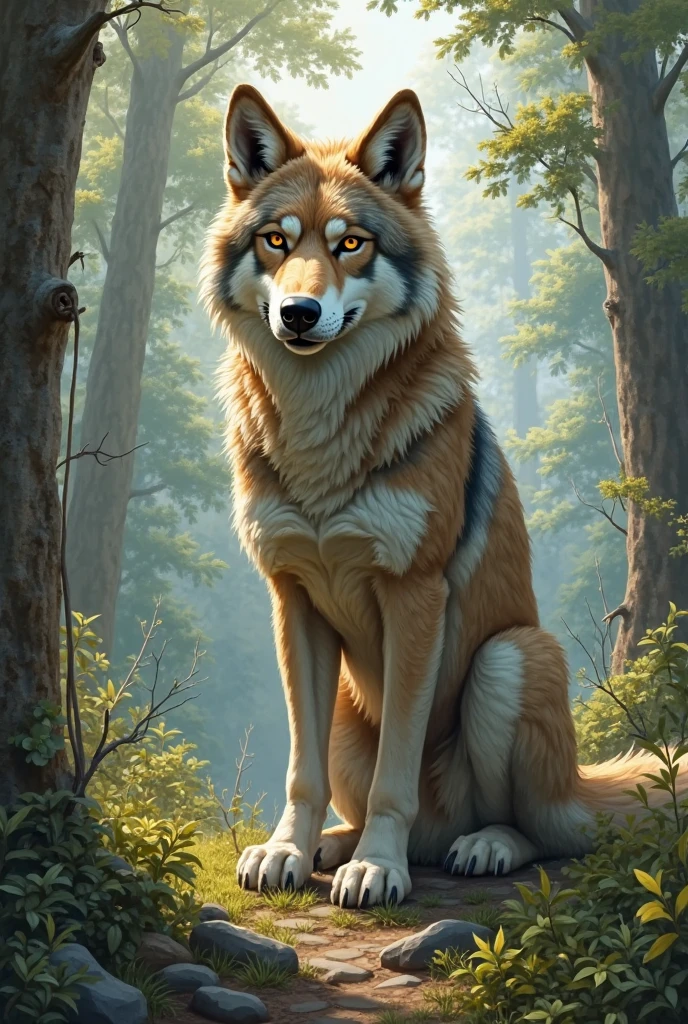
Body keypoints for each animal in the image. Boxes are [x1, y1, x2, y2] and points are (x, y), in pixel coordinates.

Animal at [201, 83, 686, 908]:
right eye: (276, 241)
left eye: (350, 244)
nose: (299, 314)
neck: (320, 430)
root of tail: (580, 784)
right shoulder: (291, 596)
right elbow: (299, 771)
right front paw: (286, 851)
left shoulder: (416, 594)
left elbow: (396, 772)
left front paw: (376, 867)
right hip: (347, 709)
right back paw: (335, 843)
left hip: (509, 659)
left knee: (536, 831)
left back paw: (476, 846)